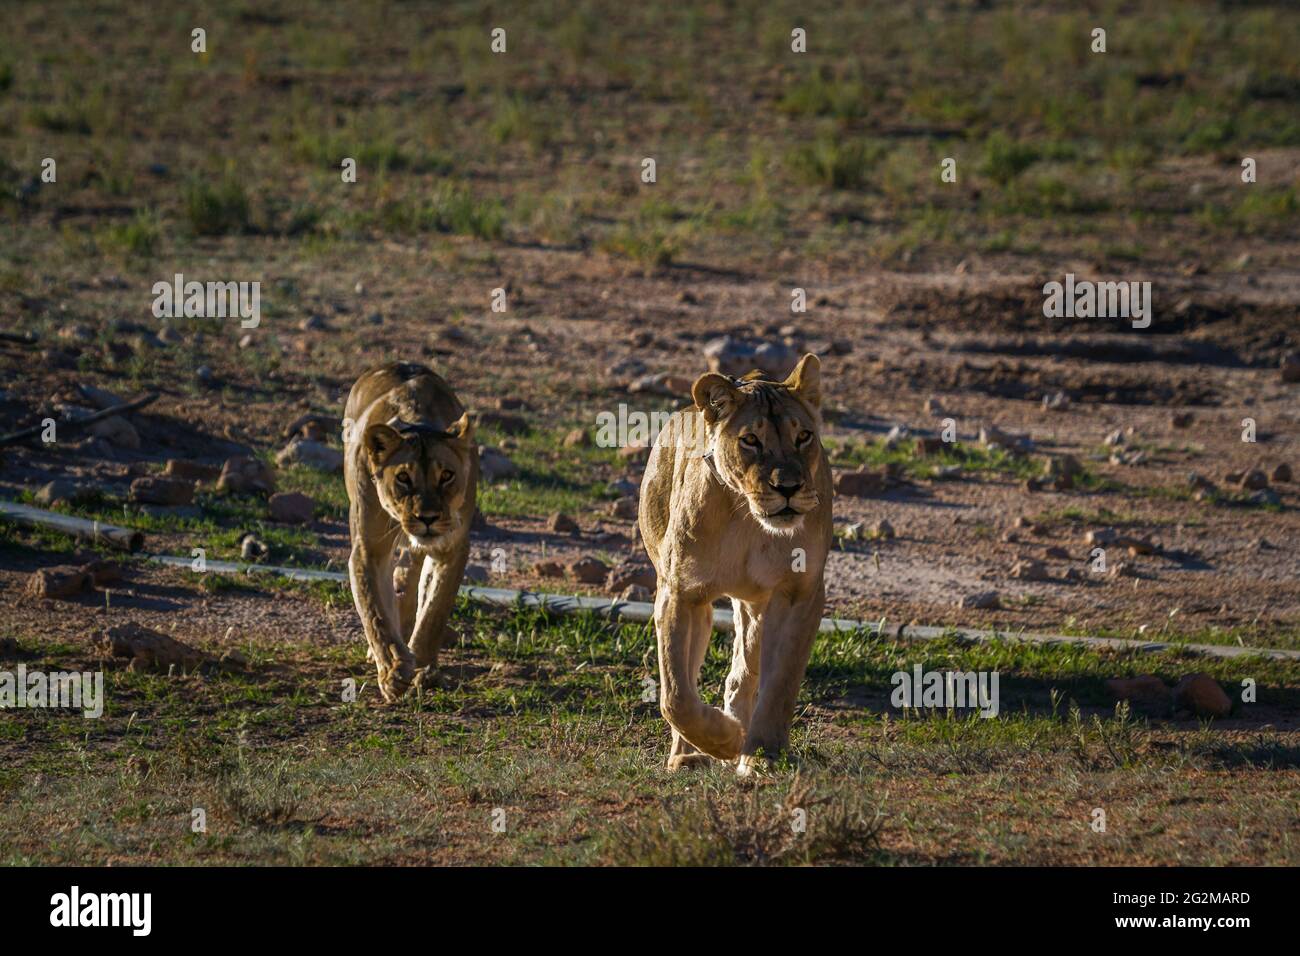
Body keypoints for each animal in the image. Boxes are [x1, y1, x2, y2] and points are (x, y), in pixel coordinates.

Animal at [342, 362, 477, 702]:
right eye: (403, 477)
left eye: (447, 475)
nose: (427, 518)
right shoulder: (369, 548)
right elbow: (375, 611)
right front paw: (392, 672)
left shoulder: (451, 546)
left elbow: (434, 610)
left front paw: (424, 670)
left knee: (411, 578)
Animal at [638, 353, 832, 774]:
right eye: (750, 440)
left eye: (803, 436)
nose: (788, 488)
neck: (747, 518)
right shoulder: (680, 593)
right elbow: (676, 696)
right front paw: (724, 740)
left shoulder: (800, 592)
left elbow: (781, 681)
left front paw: (762, 754)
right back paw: (688, 755)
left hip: (757, 605)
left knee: (744, 672)